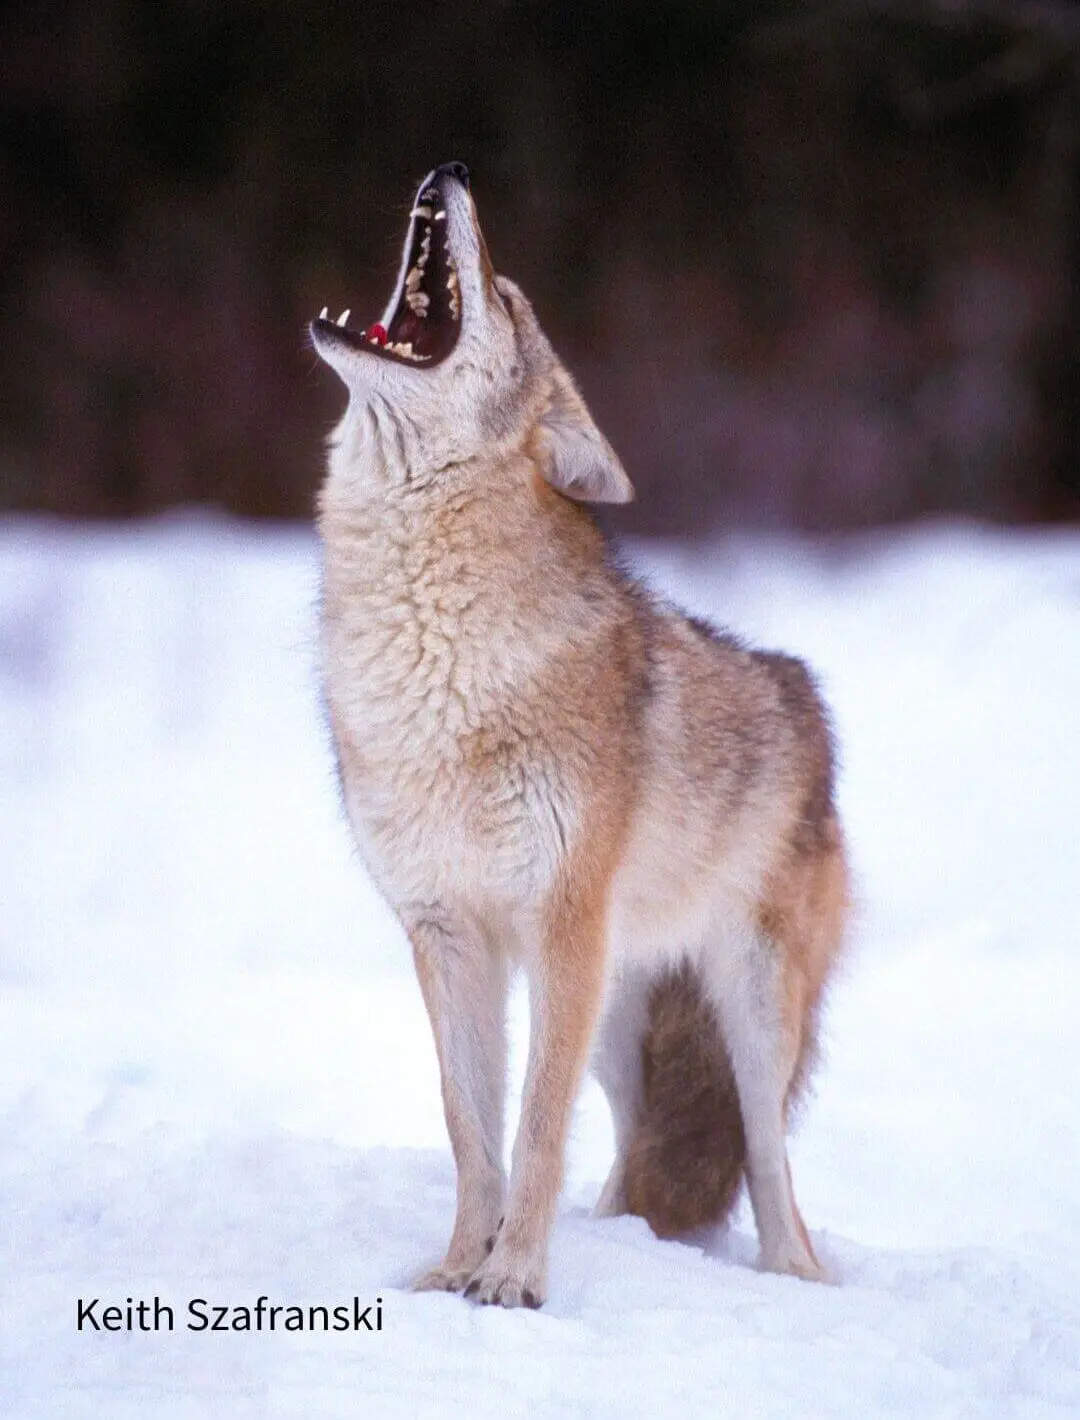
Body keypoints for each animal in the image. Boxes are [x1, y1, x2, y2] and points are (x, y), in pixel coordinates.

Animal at [310, 161, 848, 1309]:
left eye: (508, 301)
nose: (452, 170)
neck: (429, 655)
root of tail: (801, 693)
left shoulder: (558, 927)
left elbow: (535, 1128)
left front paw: (514, 1279)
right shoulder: (447, 932)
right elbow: (472, 1130)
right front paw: (455, 1270)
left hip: (744, 1012)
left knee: (774, 1173)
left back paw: (789, 1280)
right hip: (618, 1018)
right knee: (636, 1150)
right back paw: (622, 1234)